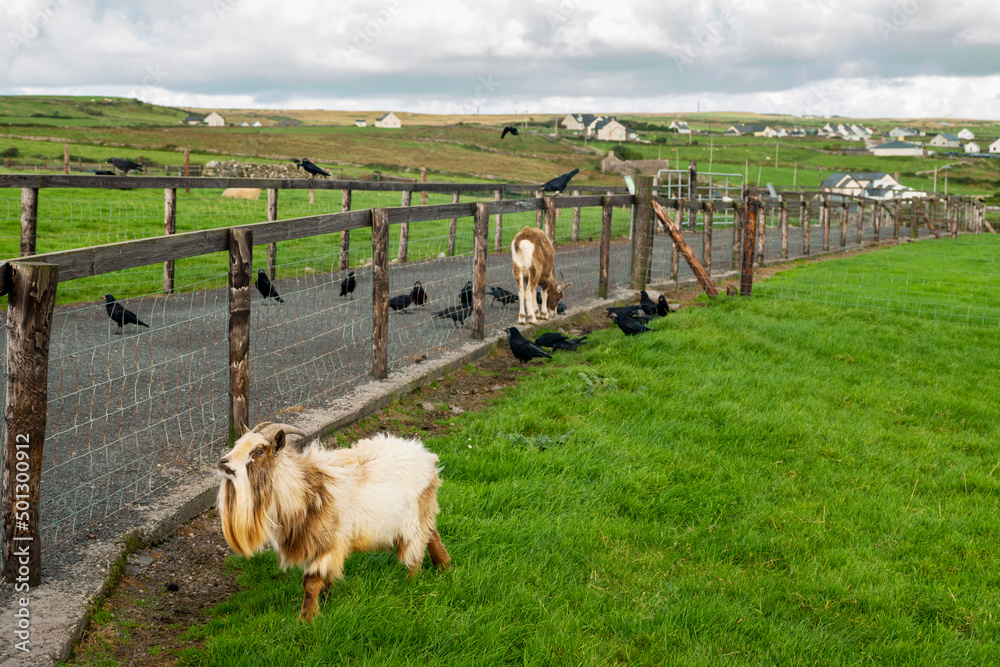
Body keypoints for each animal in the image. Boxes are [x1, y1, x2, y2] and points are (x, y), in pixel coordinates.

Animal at [216, 422, 450, 621]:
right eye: (237, 444)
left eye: (258, 451)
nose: (222, 462)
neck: (305, 491)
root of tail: (426, 456)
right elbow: (322, 581)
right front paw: (324, 604)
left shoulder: (328, 543)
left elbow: (310, 582)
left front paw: (306, 620)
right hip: (422, 513)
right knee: (432, 533)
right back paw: (444, 567)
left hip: (413, 518)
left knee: (416, 551)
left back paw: (413, 583)